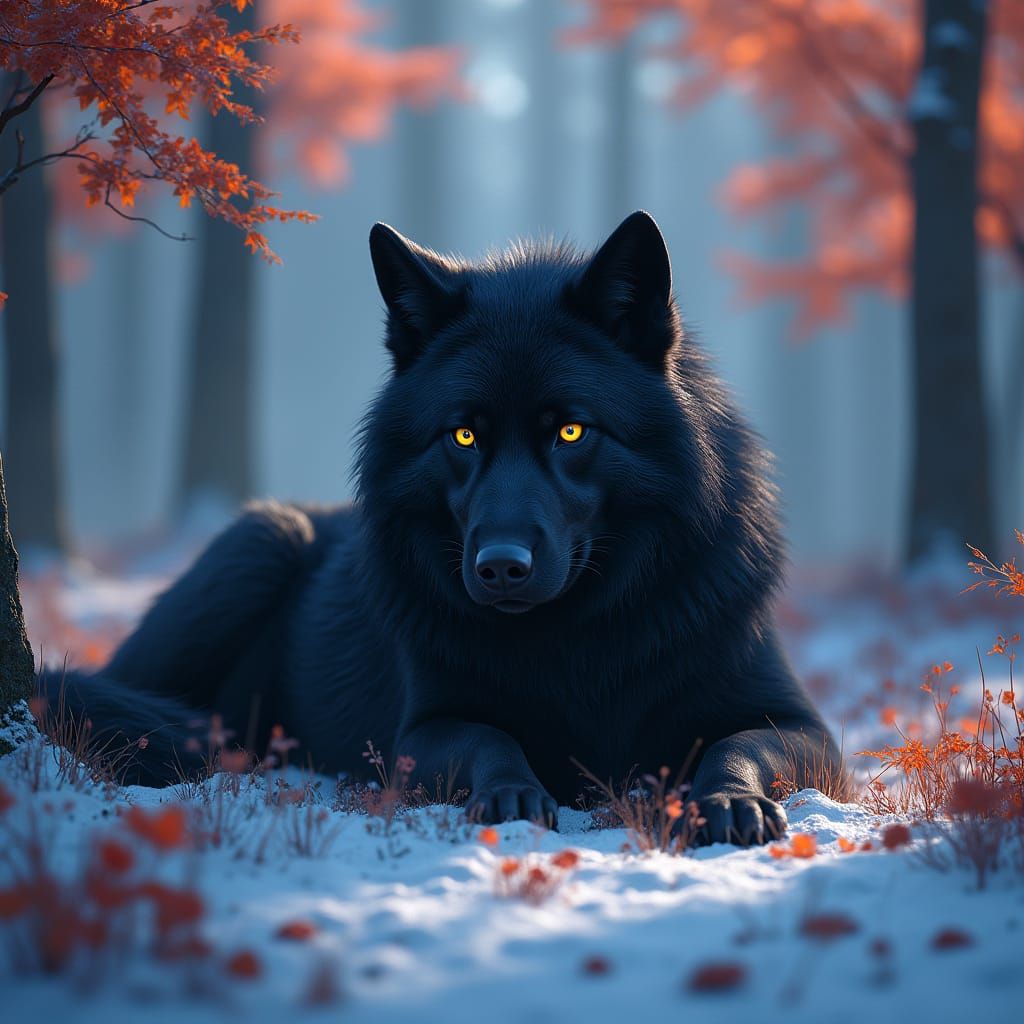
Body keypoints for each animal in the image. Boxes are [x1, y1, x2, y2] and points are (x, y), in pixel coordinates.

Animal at [44, 211, 839, 845]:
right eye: (463, 436)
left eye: (571, 431)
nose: (501, 566)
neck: (579, 637)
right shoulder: (422, 729)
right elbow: (488, 737)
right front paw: (512, 792)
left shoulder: (803, 726)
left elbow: (737, 747)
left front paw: (728, 803)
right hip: (258, 547)